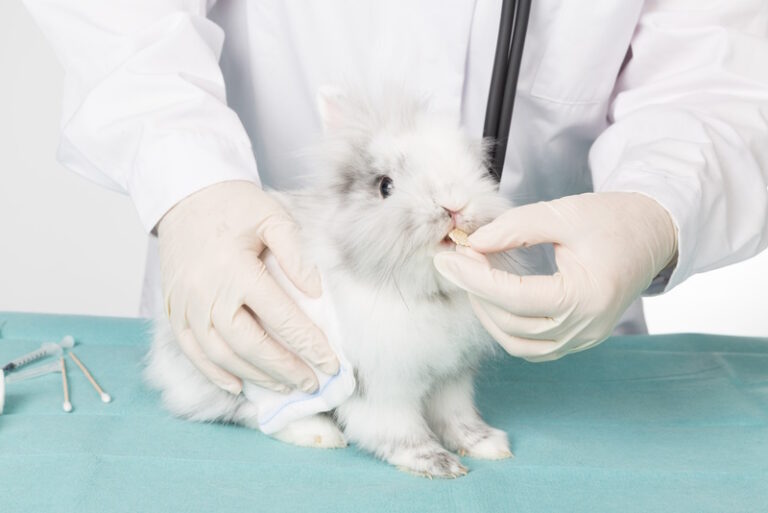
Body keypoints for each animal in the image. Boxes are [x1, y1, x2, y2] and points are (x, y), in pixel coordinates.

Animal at [146, 87, 521, 478]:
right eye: (385, 186)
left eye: (480, 169)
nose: (454, 205)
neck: (423, 294)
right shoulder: (381, 383)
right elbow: (396, 427)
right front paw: (433, 462)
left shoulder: (451, 378)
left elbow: (456, 416)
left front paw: (486, 444)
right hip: (256, 374)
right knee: (247, 414)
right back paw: (319, 434)